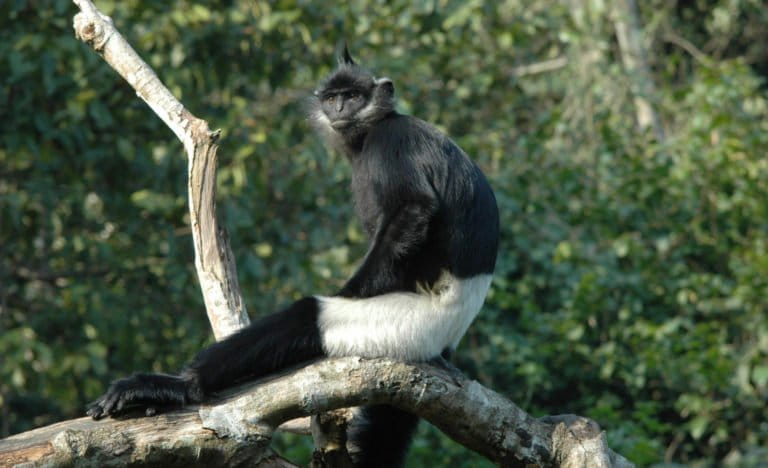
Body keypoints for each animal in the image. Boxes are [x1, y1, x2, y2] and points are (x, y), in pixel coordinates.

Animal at [87, 46, 499, 468]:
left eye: (353, 96)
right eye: (333, 98)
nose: (339, 108)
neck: (371, 131)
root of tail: (455, 326)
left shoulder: (392, 142)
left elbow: (414, 209)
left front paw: (347, 291)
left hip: (410, 325)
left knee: (307, 315)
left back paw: (176, 386)